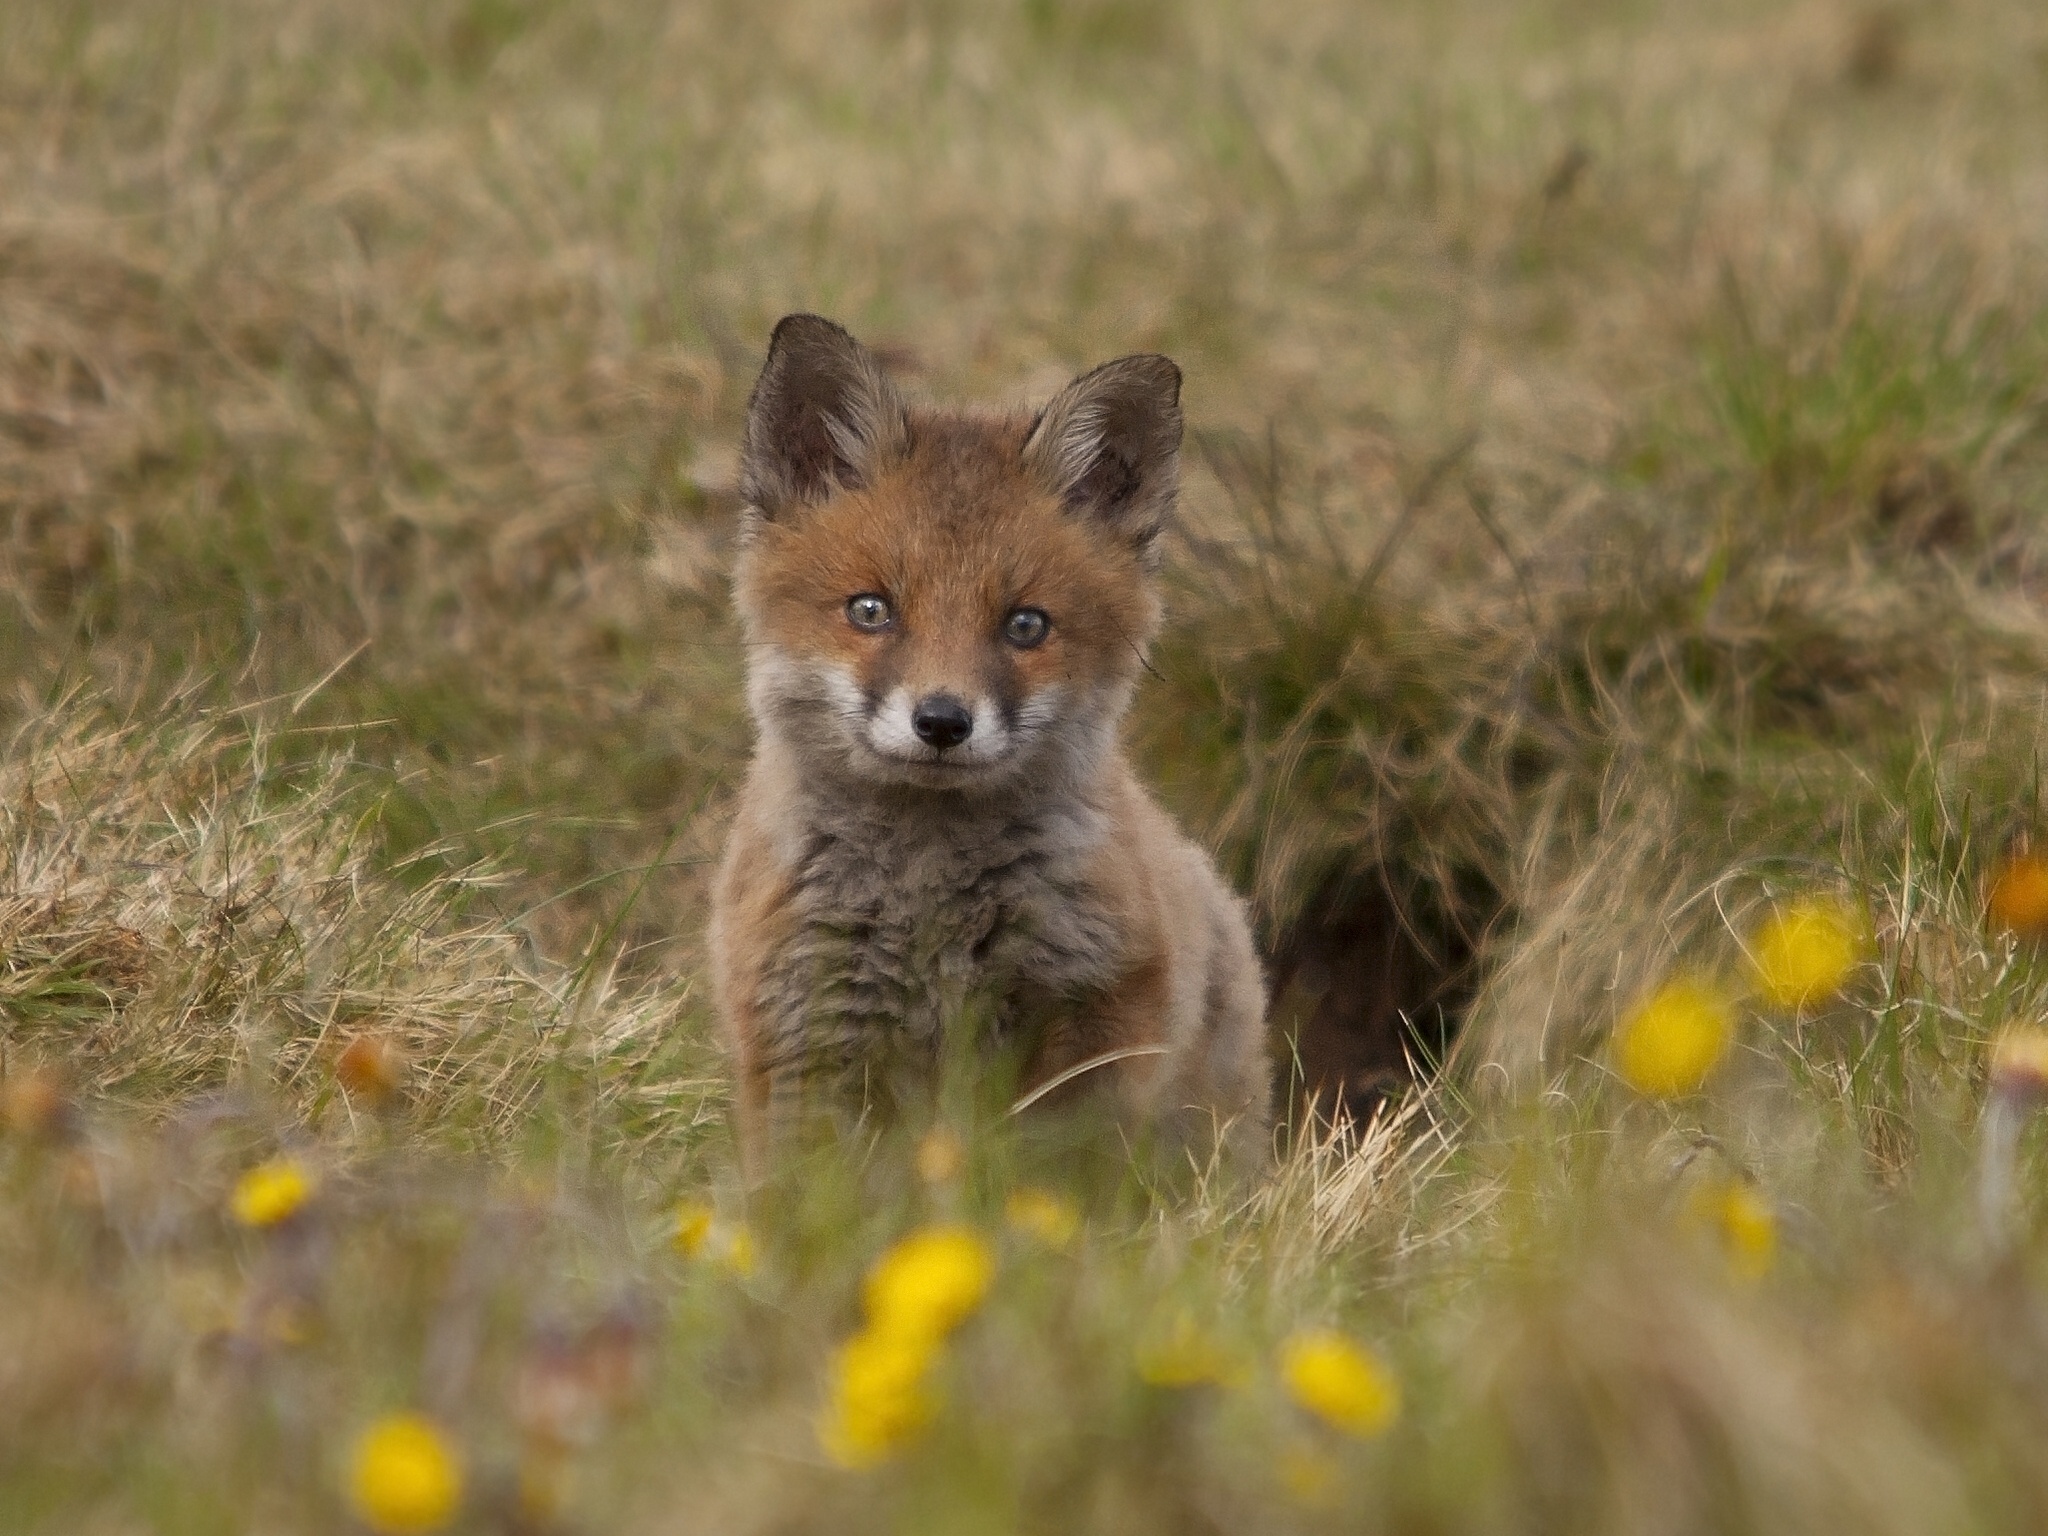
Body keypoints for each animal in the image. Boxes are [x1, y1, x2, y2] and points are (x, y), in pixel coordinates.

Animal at [709, 314, 1269, 1177]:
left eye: (1025, 625)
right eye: (870, 610)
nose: (942, 721)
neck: (928, 913)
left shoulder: (1098, 1024)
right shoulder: (805, 1035)